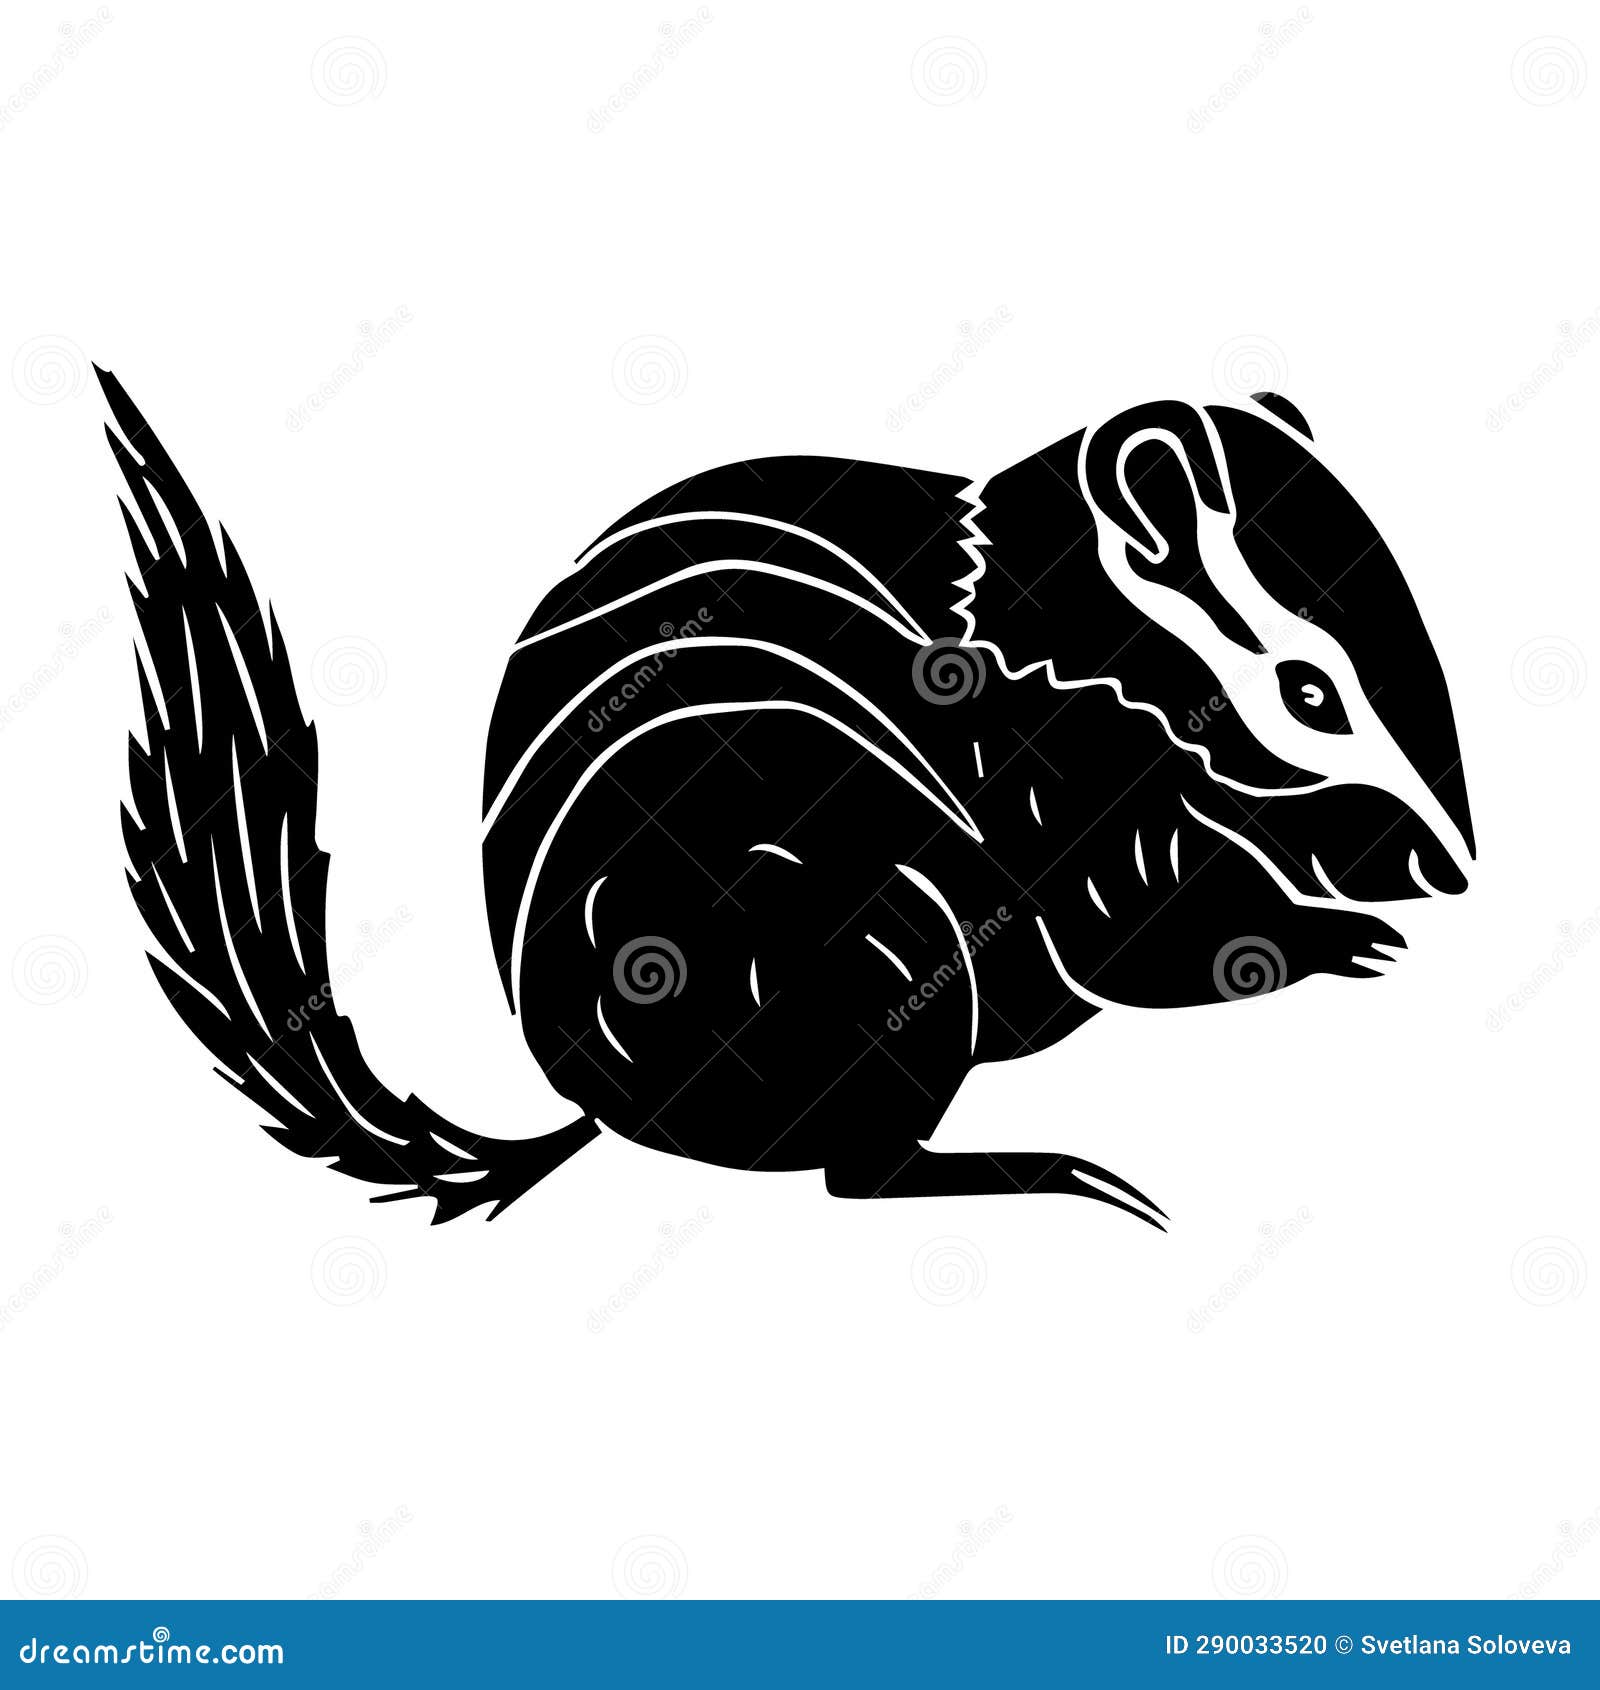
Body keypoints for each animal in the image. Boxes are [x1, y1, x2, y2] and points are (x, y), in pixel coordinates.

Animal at [104, 374, 1471, 1229]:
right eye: (1309, 691)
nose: (1446, 871)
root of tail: (590, 1102)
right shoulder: (1062, 791)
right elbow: (1128, 938)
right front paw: (1331, 938)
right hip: (880, 946)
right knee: (855, 1176)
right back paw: (1059, 1173)